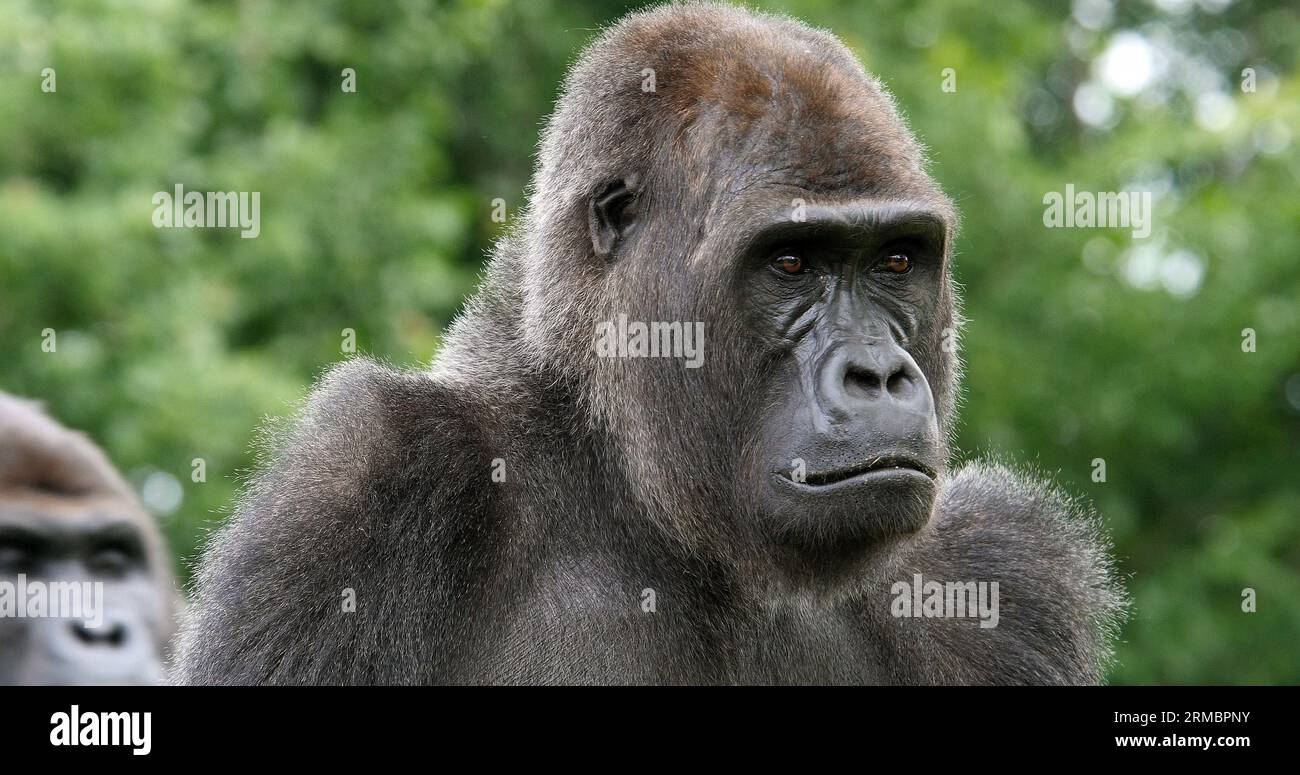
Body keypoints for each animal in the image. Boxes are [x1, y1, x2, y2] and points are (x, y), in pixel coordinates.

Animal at [175, 2, 1125, 685]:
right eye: (790, 261)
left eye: (896, 259)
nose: (880, 373)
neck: (623, 476)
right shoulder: (365, 478)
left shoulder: (1002, 571)